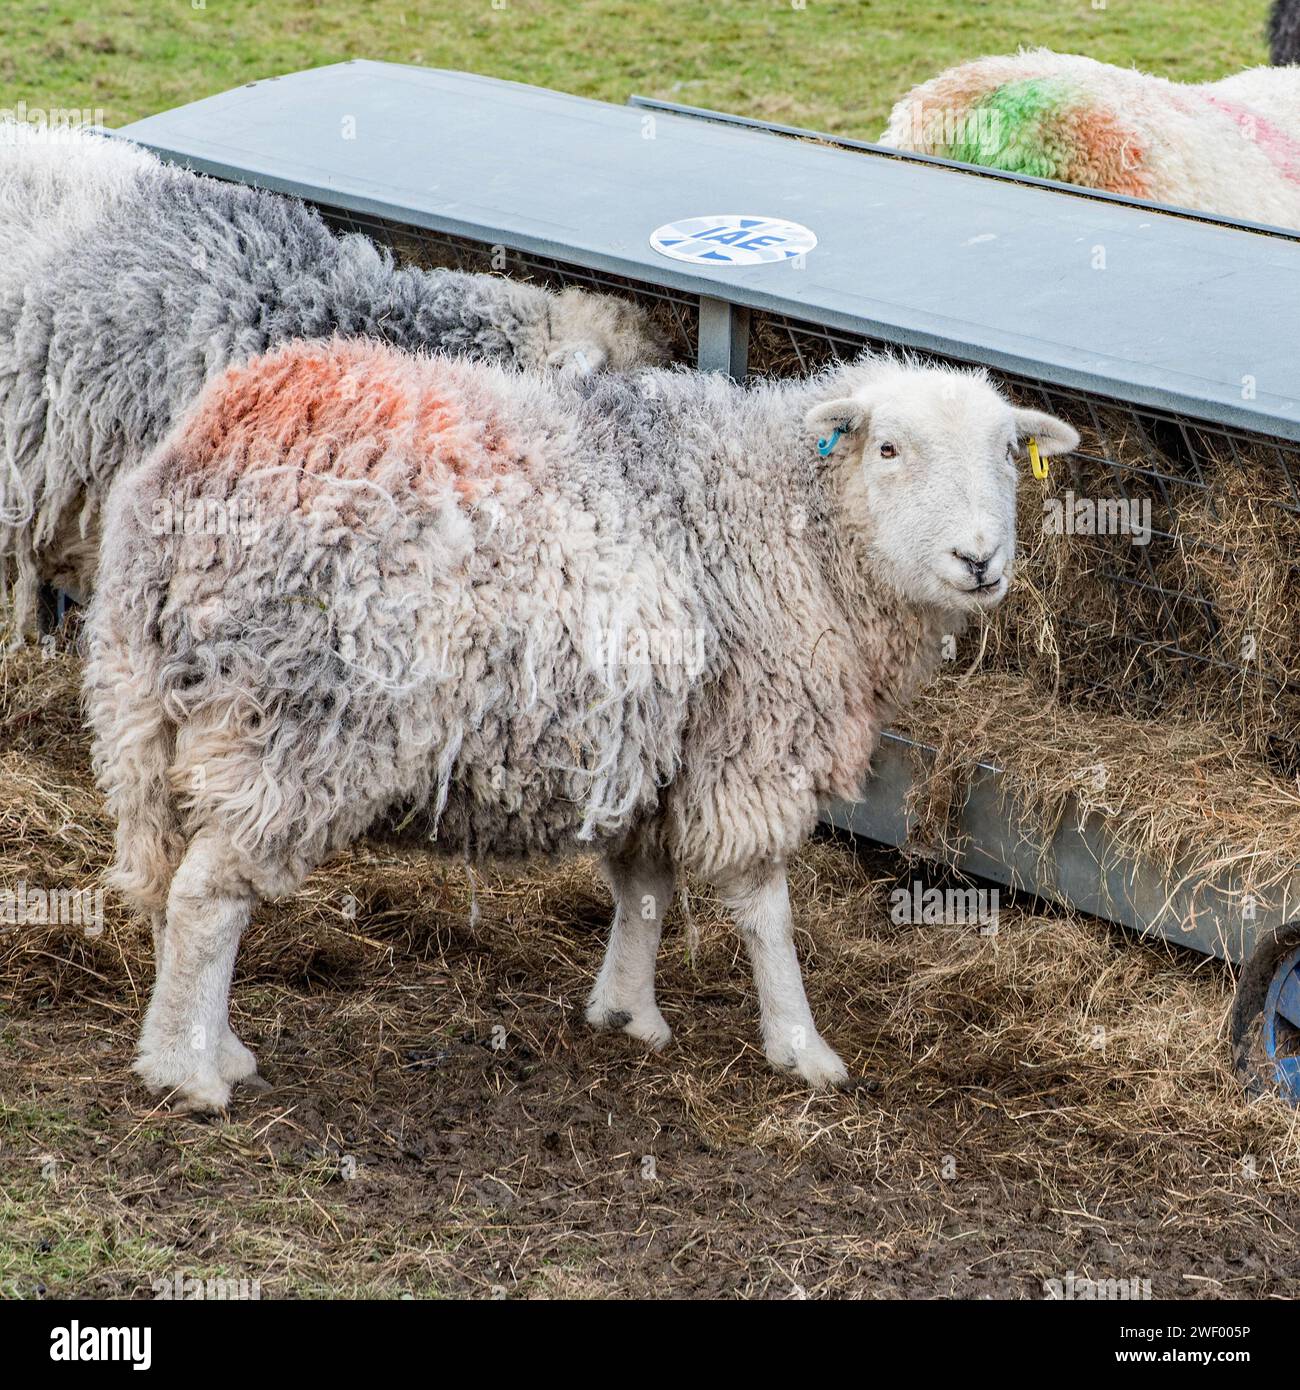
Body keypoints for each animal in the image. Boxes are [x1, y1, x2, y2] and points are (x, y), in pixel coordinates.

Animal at [85, 336, 1078, 1112]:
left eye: (1008, 454)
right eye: (890, 449)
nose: (980, 559)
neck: (792, 518)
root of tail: (215, 442)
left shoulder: (658, 745)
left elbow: (644, 888)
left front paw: (627, 1011)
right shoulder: (751, 739)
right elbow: (766, 908)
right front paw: (801, 1046)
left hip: (158, 708)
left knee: (181, 879)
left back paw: (214, 1046)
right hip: (302, 724)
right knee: (209, 896)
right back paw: (186, 1071)